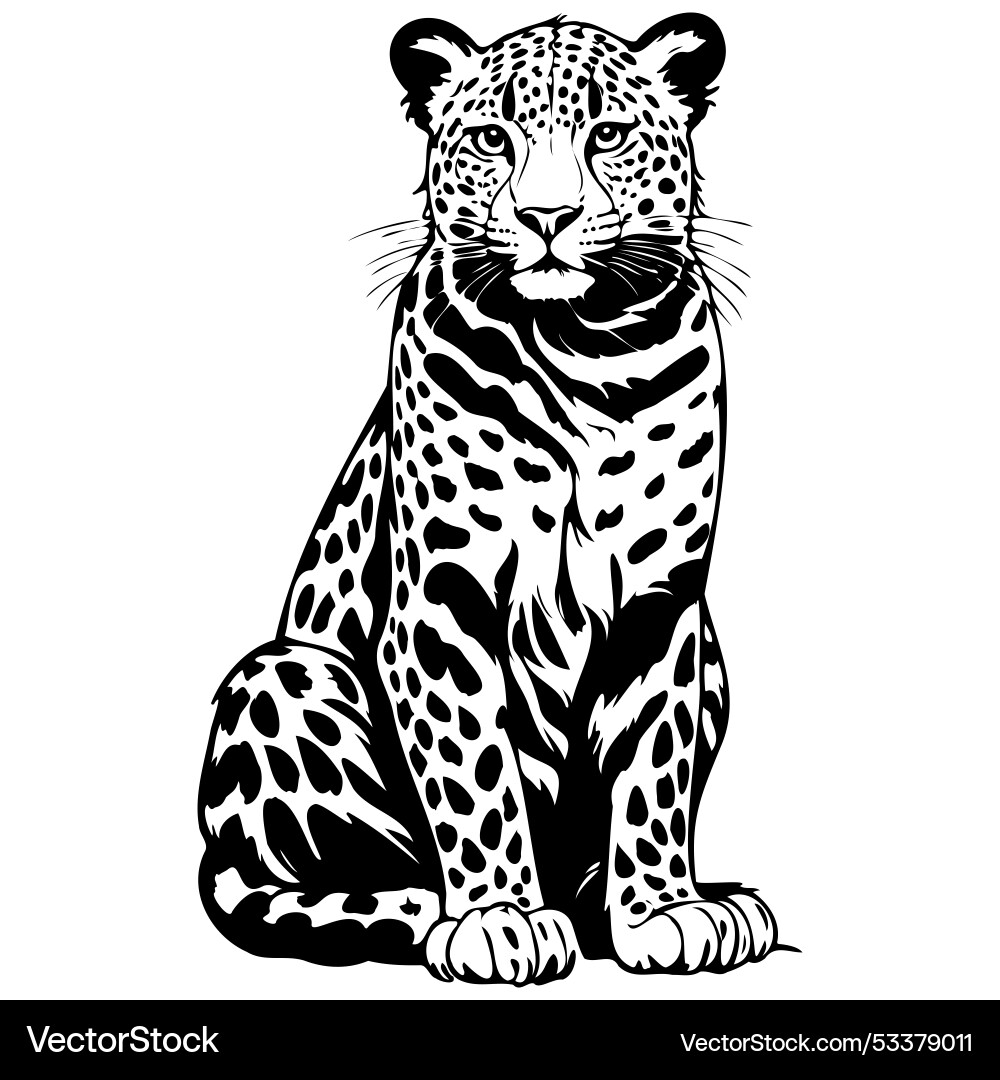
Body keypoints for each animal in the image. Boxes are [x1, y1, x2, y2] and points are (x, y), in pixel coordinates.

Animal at [198, 13, 780, 984]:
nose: (548, 218)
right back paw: (435, 909)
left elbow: (652, 768)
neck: (585, 357)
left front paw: (663, 910)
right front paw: (498, 918)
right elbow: (472, 771)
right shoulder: (442, 601)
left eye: (608, 136)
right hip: (280, 673)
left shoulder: (665, 606)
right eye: (492, 140)